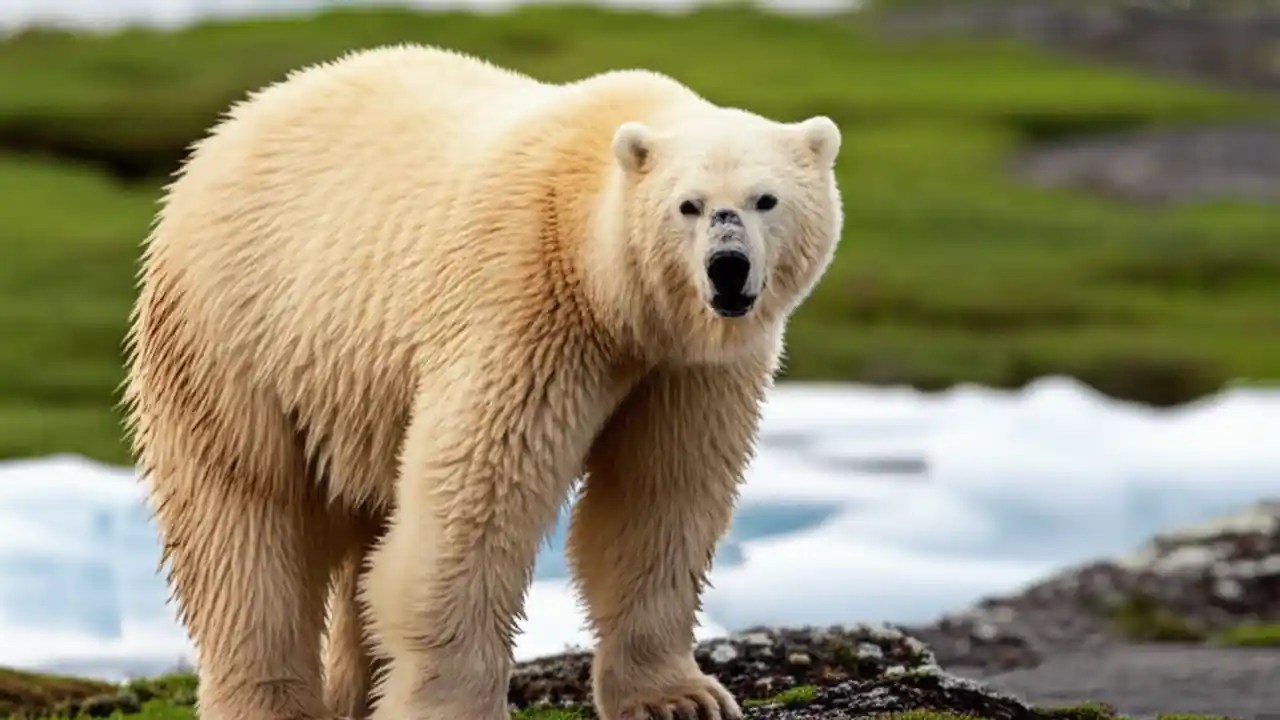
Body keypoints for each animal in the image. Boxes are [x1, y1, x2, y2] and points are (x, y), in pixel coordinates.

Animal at [122, 44, 842, 720]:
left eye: (765, 199)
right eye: (688, 205)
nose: (728, 267)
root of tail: (231, 127)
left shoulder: (687, 369)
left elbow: (660, 495)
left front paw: (679, 698)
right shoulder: (527, 301)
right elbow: (479, 493)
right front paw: (450, 703)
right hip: (238, 332)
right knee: (245, 516)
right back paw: (276, 700)